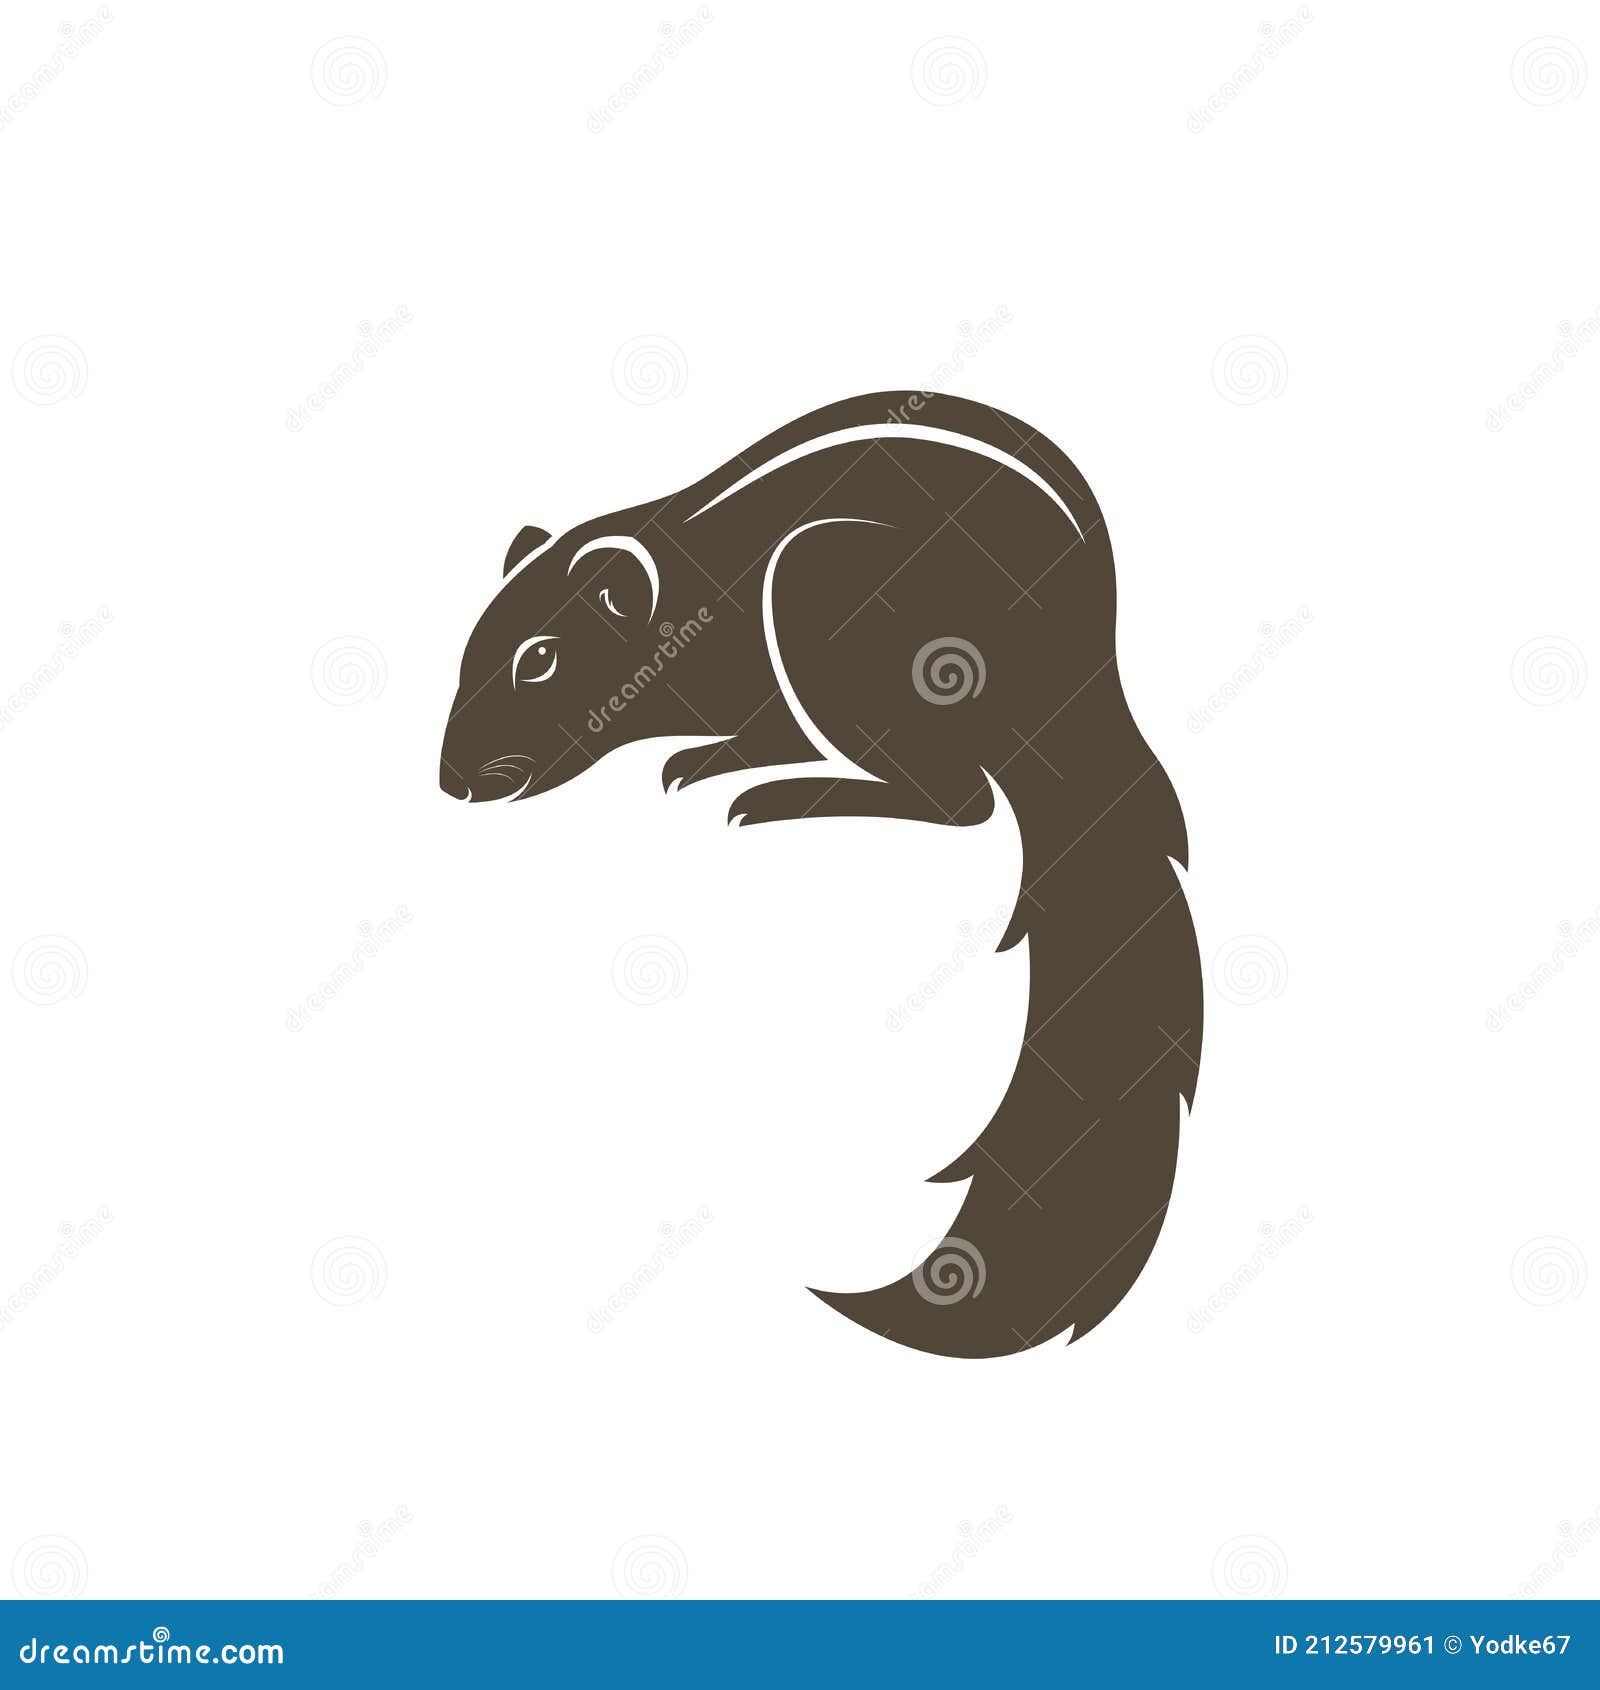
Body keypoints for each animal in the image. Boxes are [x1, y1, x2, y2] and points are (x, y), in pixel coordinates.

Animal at [440, 391, 1201, 1358]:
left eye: (539, 659)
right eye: (470, 650)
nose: (450, 780)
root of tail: (1085, 703)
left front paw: (729, 770)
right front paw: (706, 759)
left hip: (838, 594)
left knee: (956, 801)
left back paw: (790, 797)